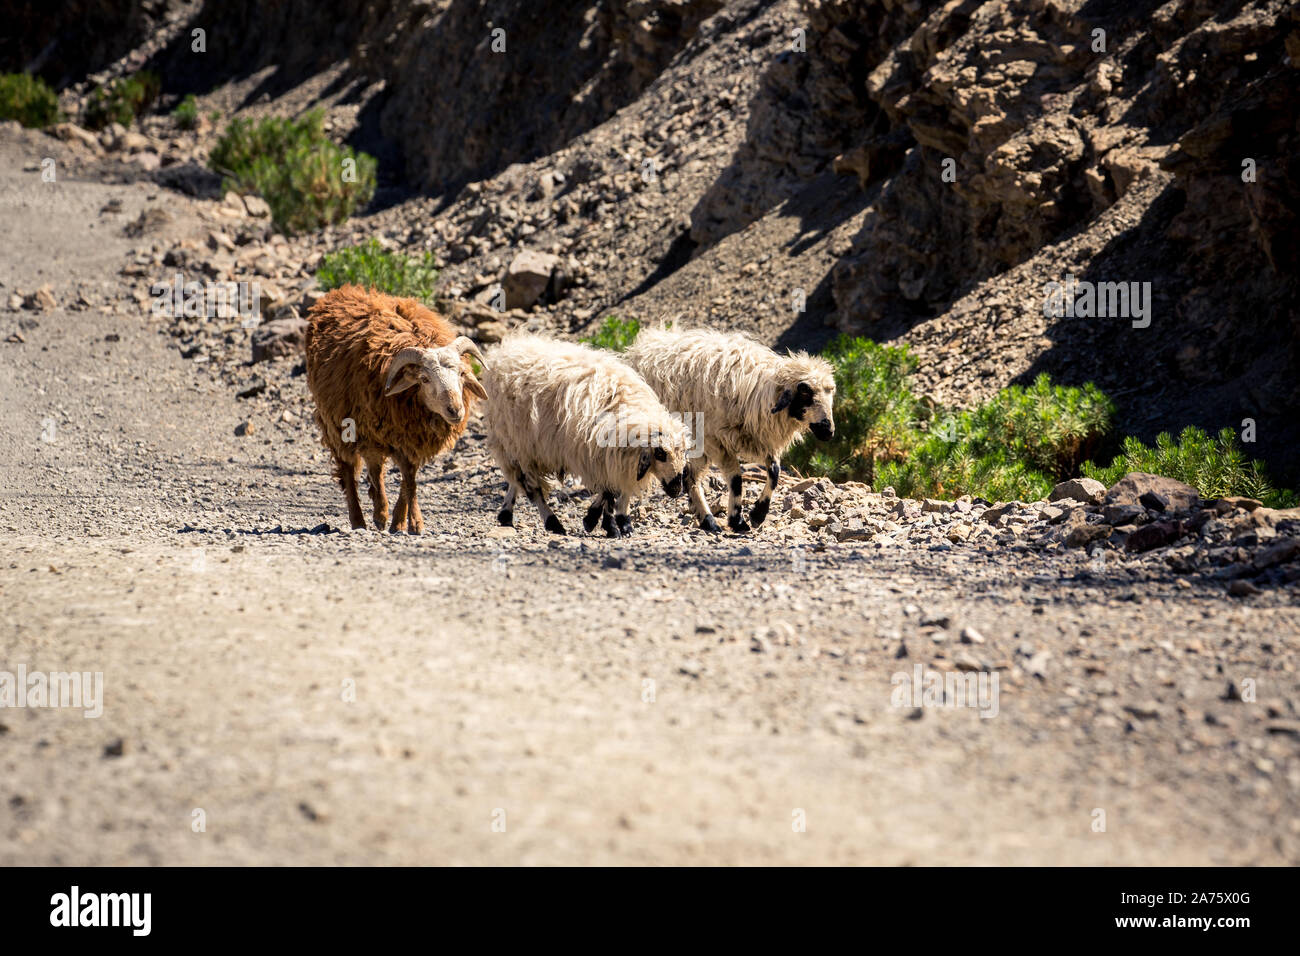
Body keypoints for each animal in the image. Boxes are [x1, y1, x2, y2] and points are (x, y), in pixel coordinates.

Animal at [304, 284, 486, 534]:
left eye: (461, 373)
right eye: (424, 379)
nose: (455, 410)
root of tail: (340, 292)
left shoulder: (413, 440)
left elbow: (408, 480)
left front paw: (402, 522)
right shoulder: (369, 433)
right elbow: (391, 476)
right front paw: (391, 517)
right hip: (336, 423)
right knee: (350, 471)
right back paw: (361, 519)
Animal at [482, 334, 688, 537]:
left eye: (683, 453)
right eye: (660, 453)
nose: (677, 489)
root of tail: (504, 350)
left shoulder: (611, 457)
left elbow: (613, 489)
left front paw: (609, 521)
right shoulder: (593, 454)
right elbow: (609, 491)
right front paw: (605, 524)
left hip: (520, 448)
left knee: (515, 480)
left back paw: (506, 515)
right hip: (516, 442)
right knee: (531, 487)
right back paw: (552, 522)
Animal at [624, 327, 836, 533]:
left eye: (830, 393)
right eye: (806, 393)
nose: (829, 431)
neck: (756, 393)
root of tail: (640, 346)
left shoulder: (758, 440)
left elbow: (774, 472)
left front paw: (758, 514)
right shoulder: (716, 442)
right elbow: (736, 479)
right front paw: (737, 520)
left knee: (690, 478)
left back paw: (707, 520)